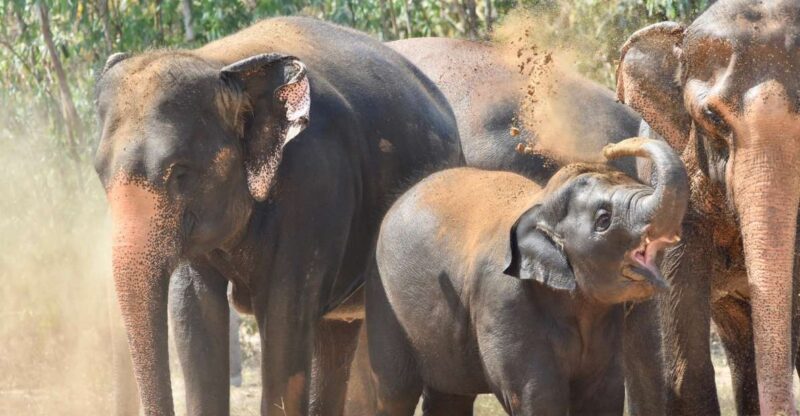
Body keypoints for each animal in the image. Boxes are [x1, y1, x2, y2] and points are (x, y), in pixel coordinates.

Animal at [94, 16, 463, 416]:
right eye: (99, 173)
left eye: (179, 173)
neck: (222, 65)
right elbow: (194, 315)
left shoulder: (314, 183)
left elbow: (284, 321)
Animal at [366, 137, 689, 415]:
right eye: (603, 219)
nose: (611, 147)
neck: (542, 201)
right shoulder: (504, 300)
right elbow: (538, 396)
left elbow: (601, 395)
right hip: (384, 296)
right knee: (394, 392)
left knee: (450, 396)